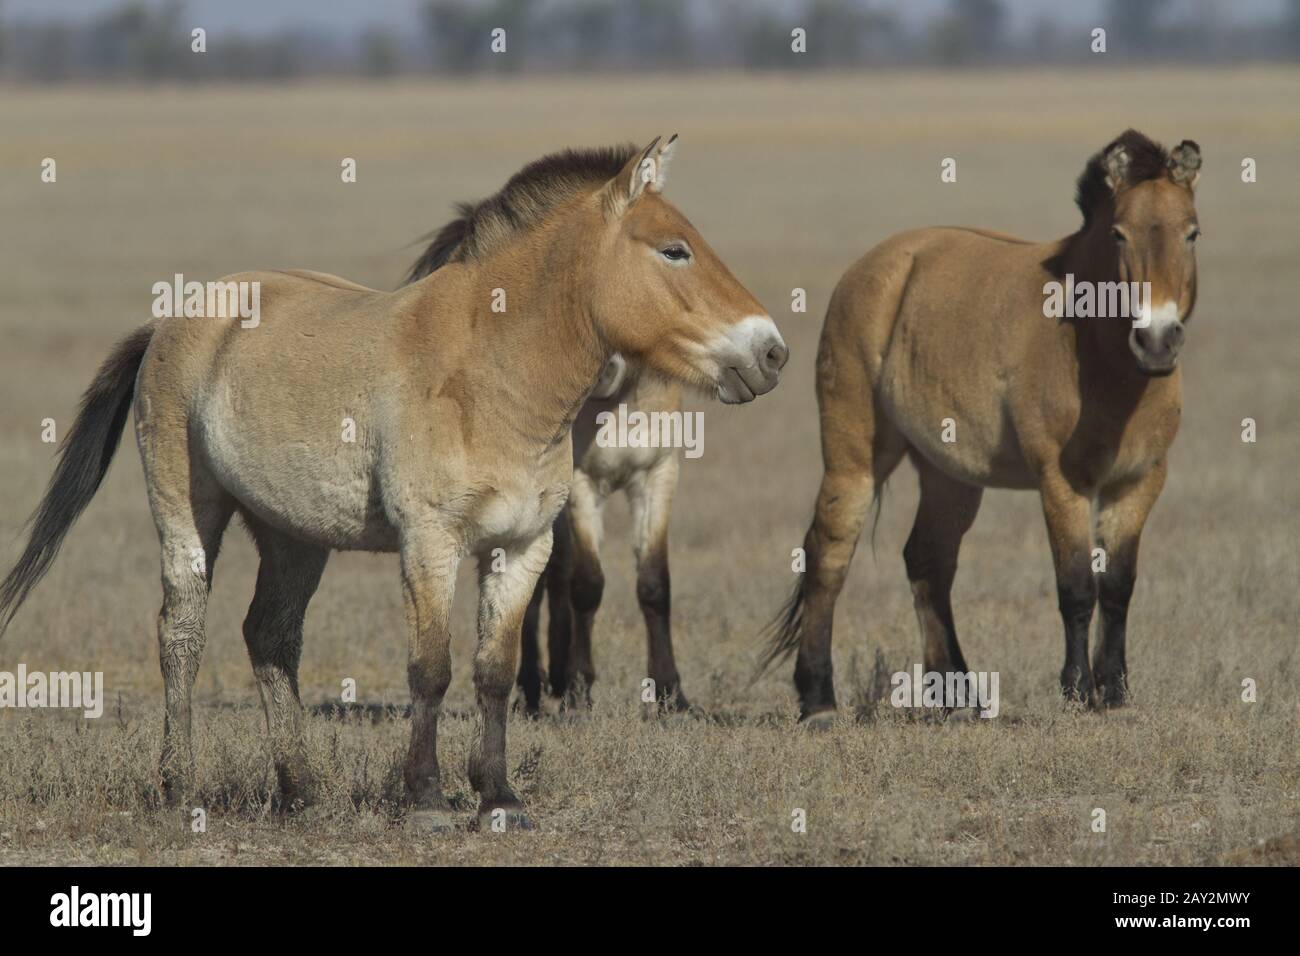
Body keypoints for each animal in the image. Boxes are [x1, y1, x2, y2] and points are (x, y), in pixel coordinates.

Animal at [409, 199, 692, 714]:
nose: (607, 363)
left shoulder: (658, 473)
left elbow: (654, 583)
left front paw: (670, 695)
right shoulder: (580, 484)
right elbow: (586, 584)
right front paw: (579, 687)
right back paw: (539, 686)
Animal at [761, 130, 1200, 723]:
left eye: (1192, 232)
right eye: (1119, 233)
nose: (1156, 341)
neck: (1098, 356)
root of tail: (871, 268)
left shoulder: (1139, 482)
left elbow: (1117, 587)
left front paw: (1114, 691)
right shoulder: (1060, 482)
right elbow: (1076, 587)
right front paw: (1077, 689)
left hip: (949, 475)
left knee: (928, 561)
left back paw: (956, 696)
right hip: (854, 458)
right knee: (829, 555)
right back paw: (818, 701)